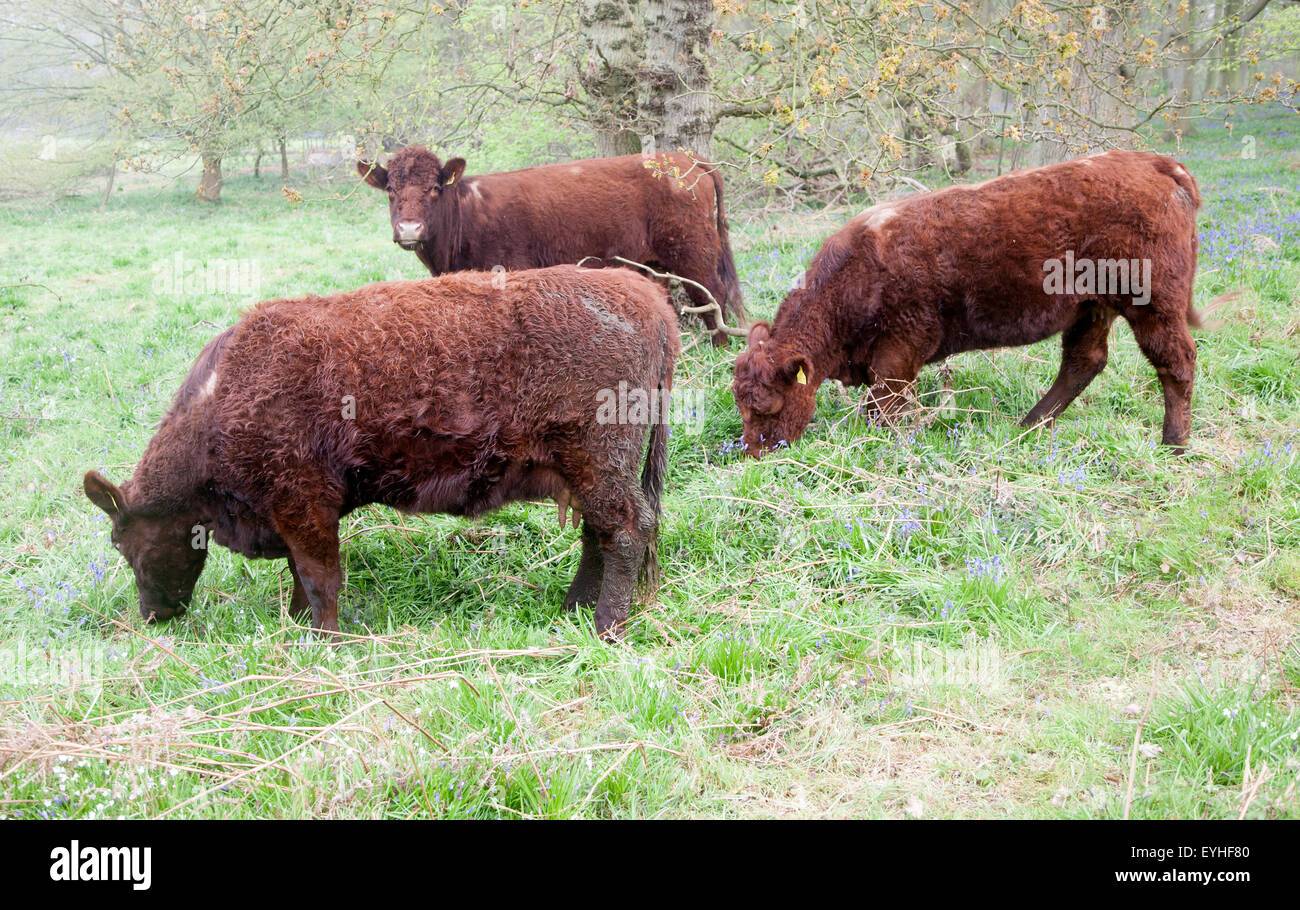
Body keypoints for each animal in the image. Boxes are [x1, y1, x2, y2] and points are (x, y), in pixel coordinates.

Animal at [83, 265, 679, 639]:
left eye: (122, 542)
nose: (154, 615)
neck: (225, 395)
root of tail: (646, 298)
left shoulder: (303, 504)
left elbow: (320, 577)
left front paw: (324, 640)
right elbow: (303, 577)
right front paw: (298, 626)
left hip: (600, 463)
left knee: (628, 530)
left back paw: (605, 626)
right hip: (586, 473)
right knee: (599, 534)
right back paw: (573, 607)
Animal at [357, 148, 745, 344]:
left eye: (435, 188)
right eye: (390, 189)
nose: (409, 228)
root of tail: (687, 159)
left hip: (693, 250)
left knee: (712, 296)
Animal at [733, 150, 1203, 457]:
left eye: (768, 407)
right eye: (739, 403)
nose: (754, 452)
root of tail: (1159, 164)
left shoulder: (898, 354)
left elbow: (883, 409)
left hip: (1153, 305)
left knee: (1176, 361)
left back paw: (1174, 444)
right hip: (1091, 307)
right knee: (1083, 361)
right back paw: (1030, 425)